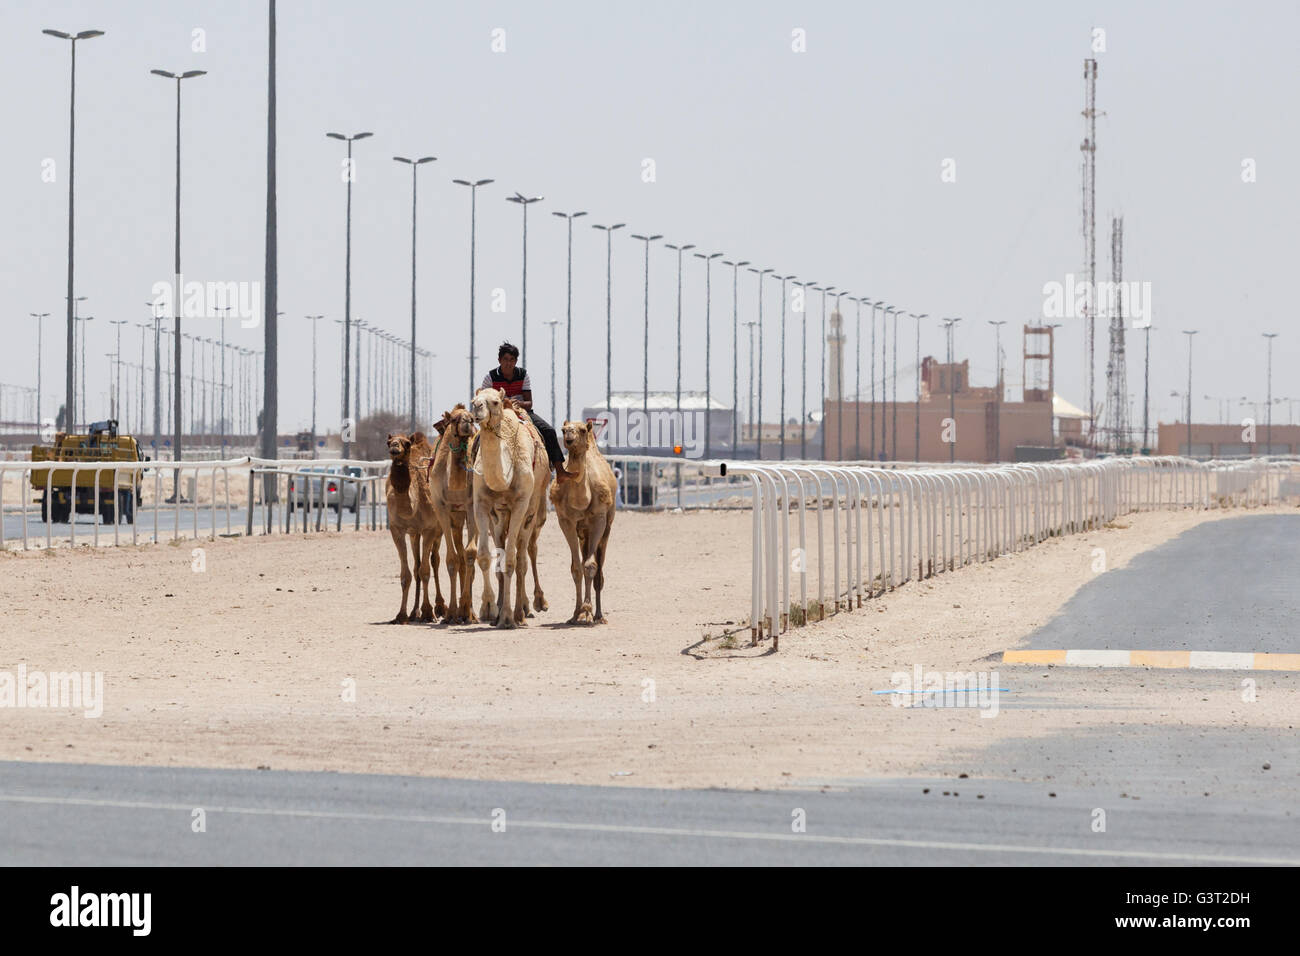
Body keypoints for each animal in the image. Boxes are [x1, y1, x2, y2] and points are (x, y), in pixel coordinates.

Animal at [384, 431, 443, 623]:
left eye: (407, 443)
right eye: (388, 441)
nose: (395, 447)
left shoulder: (429, 529)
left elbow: (425, 571)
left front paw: (428, 612)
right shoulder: (398, 530)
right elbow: (407, 574)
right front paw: (401, 615)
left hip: (439, 530)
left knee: (435, 561)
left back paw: (440, 607)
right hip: (414, 535)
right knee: (417, 565)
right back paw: (414, 611)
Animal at [469, 388, 550, 628]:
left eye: (495, 402)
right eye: (473, 400)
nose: (477, 409)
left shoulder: (521, 503)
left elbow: (513, 559)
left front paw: (507, 616)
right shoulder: (481, 503)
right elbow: (486, 556)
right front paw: (489, 609)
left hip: (534, 506)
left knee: (525, 551)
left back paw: (525, 609)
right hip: (499, 515)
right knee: (503, 548)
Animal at [549, 420, 617, 624]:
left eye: (581, 430)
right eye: (563, 429)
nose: (569, 438)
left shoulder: (599, 520)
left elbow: (590, 565)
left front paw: (587, 611)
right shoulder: (566, 521)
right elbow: (577, 568)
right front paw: (577, 613)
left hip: (606, 528)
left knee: (599, 570)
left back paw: (599, 615)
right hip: (583, 535)